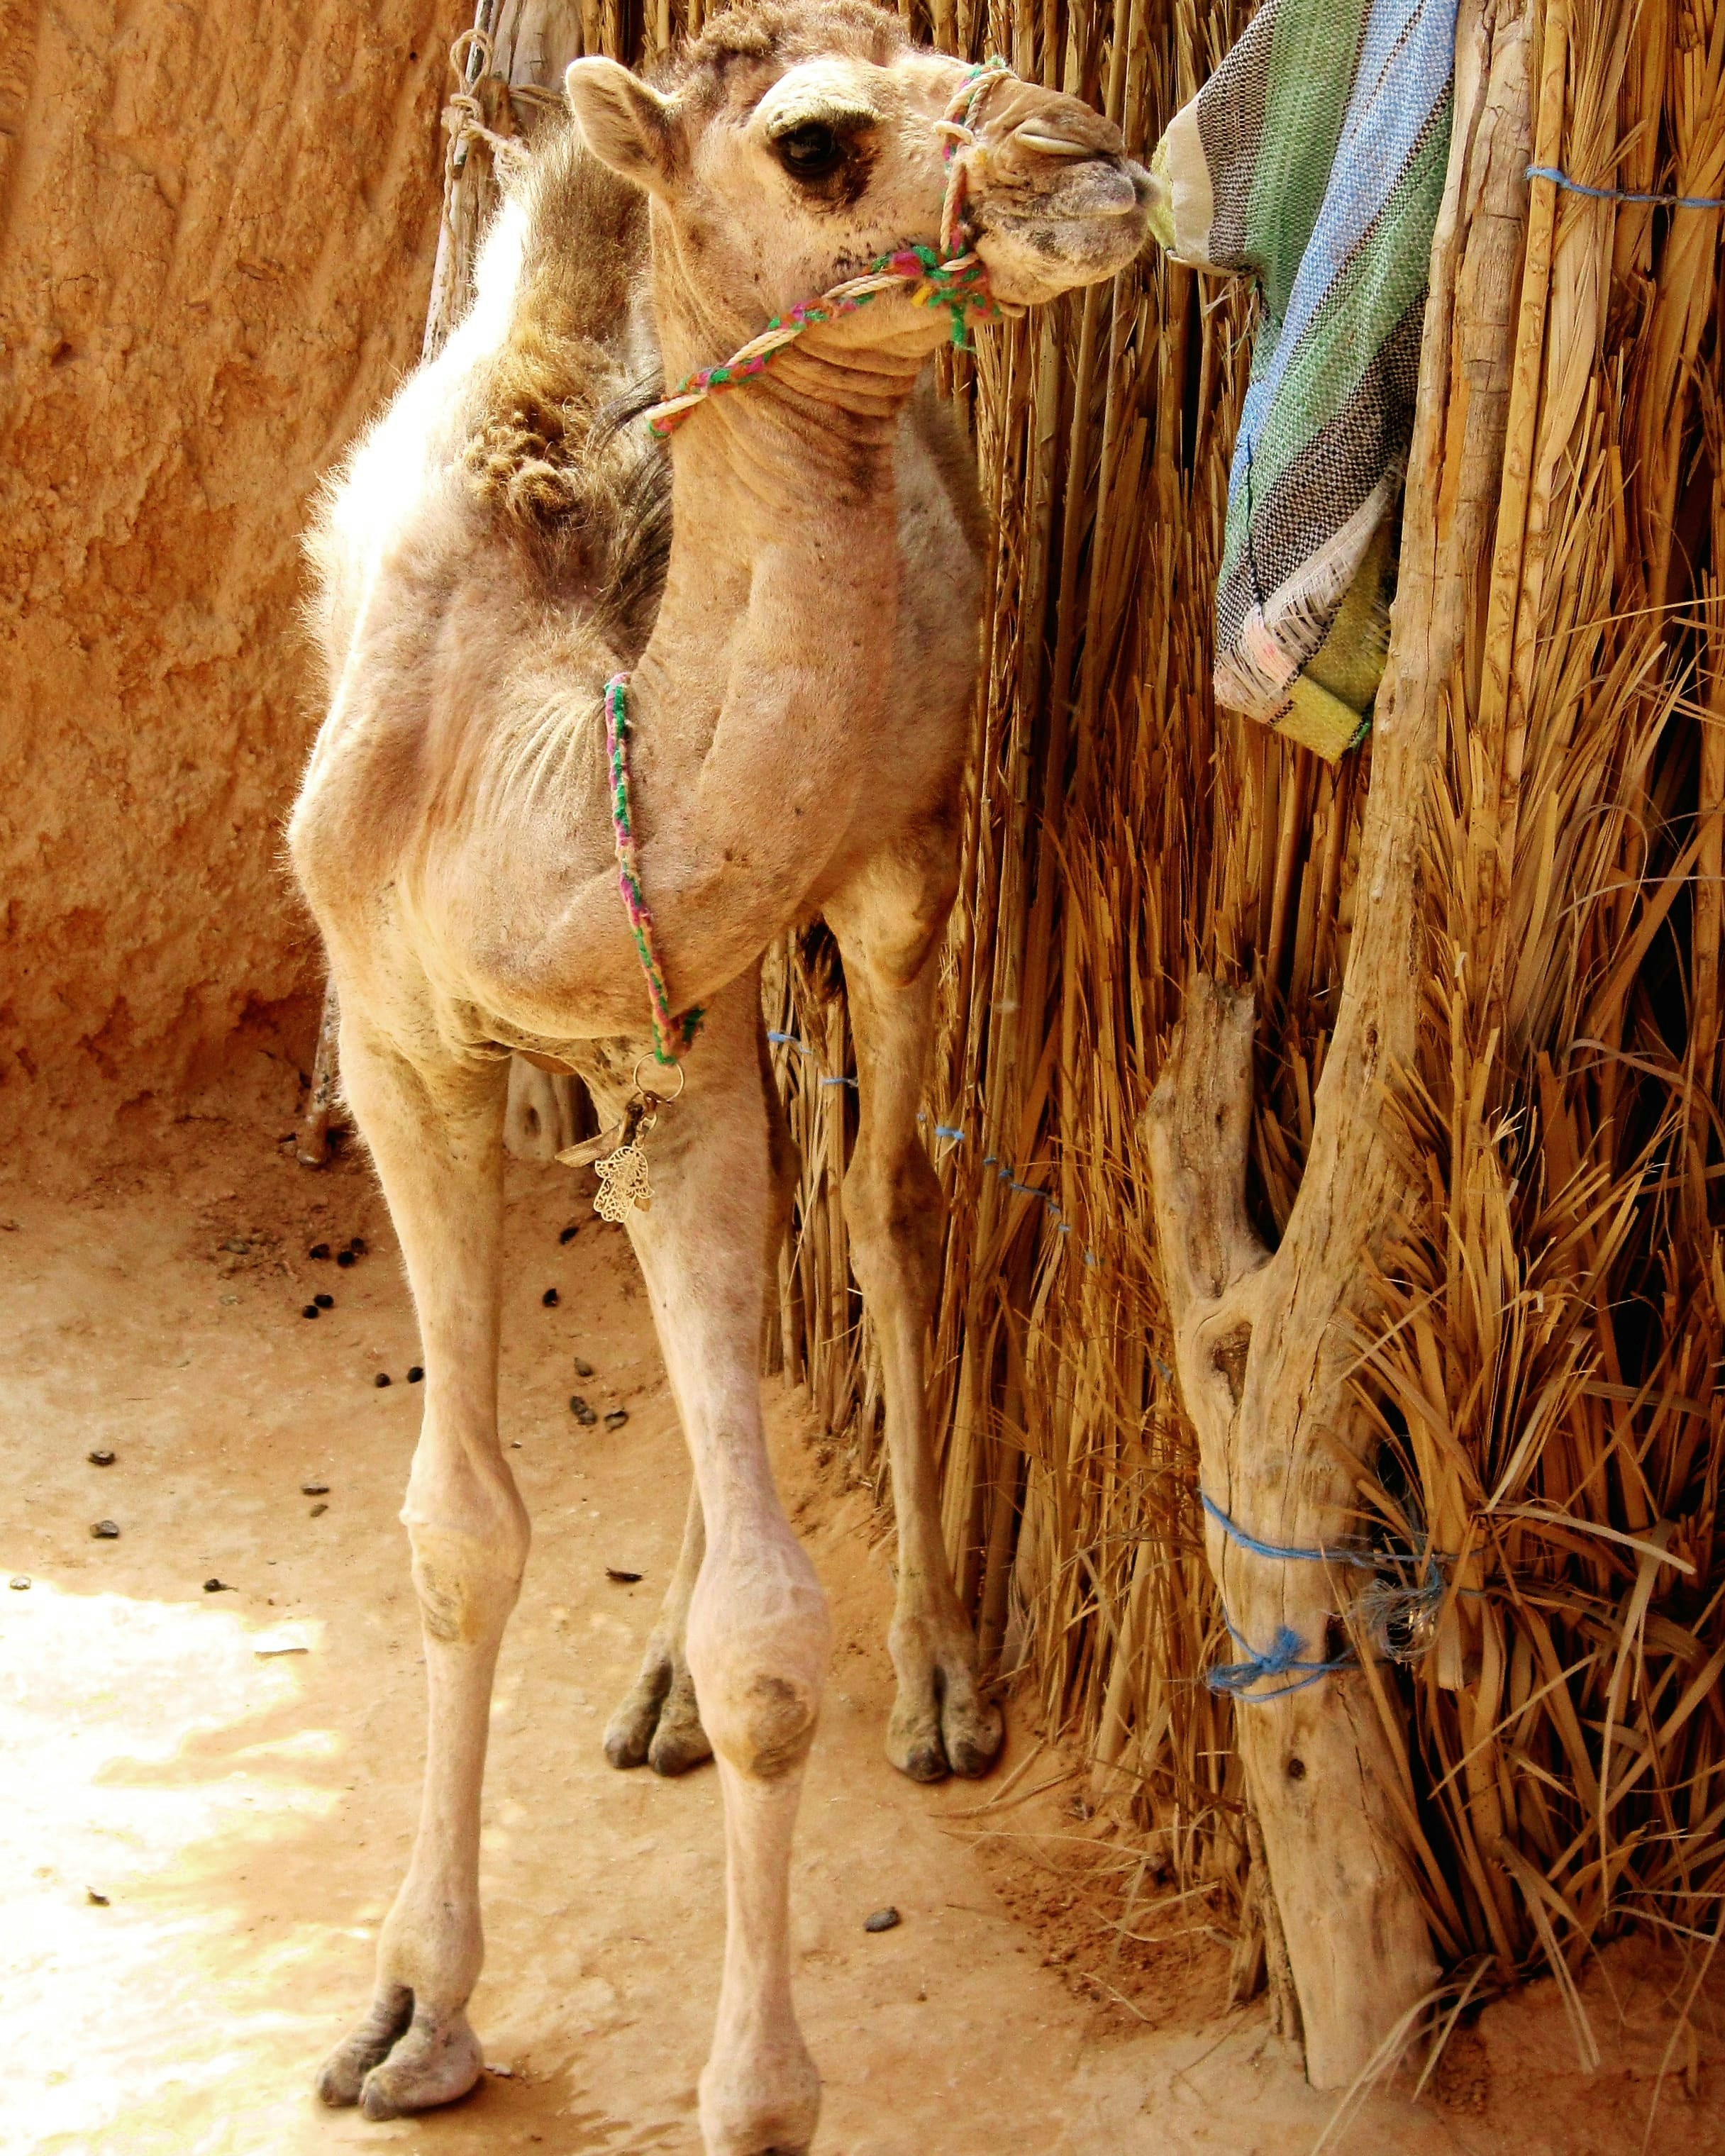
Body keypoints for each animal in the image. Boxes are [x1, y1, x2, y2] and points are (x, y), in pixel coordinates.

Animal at [288, 5, 1152, 2145]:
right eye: (819, 141)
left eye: (961, 49)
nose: (1094, 151)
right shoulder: (412, 1039)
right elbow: (459, 1534)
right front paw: (411, 2010)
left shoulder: (676, 1040)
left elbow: (775, 1628)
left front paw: (754, 2091)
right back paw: (654, 1692)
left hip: (904, 853)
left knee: (889, 1203)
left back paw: (933, 1675)